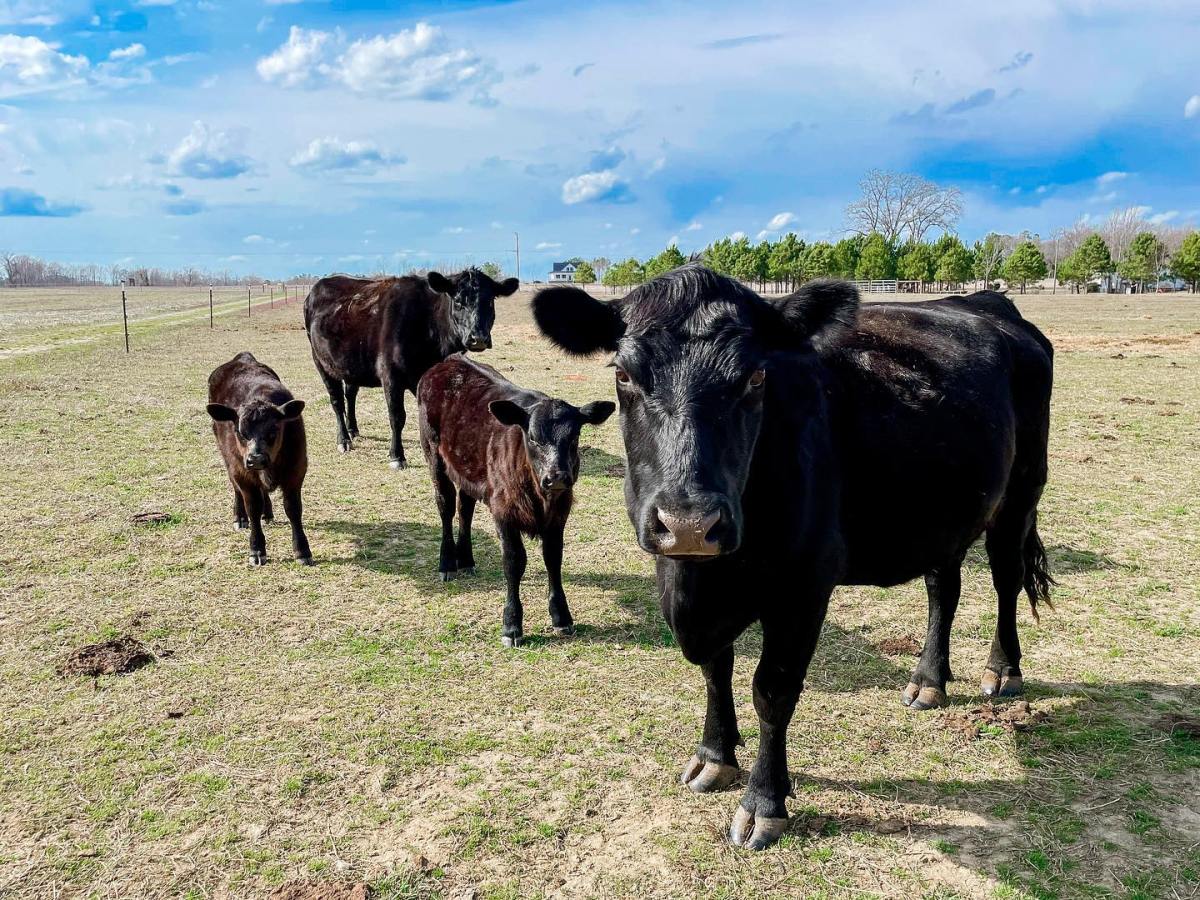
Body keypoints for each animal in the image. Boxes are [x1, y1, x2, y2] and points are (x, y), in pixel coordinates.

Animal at [206, 352, 312, 566]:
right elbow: (253, 507)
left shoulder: (296, 470)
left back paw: (268, 512)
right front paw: (256, 549)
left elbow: (293, 509)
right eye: (240, 431)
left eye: (274, 430)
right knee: (236, 489)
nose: (255, 459)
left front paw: (302, 550)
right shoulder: (242, 473)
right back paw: (240, 517)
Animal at [304, 268, 520, 469]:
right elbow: (397, 417)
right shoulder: (391, 375)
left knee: (350, 394)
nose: (478, 338)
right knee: (337, 401)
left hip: (350, 365)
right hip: (320, 362)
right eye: (458, 301)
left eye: (490, 301)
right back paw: (343, 439)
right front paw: (397, 456)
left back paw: (353, 430)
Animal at [417, 354, 615, 646]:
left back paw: (466, 560)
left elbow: (553, 558)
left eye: (575, 436)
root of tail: (451, 360)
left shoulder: (559, 513)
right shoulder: (504, 511)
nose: (556, 477)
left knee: (465, 508)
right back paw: (448, 563)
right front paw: (511, 625)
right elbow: (513, 562)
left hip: (467, 468)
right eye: (532, 437)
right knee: (446, 506)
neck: (540, 498)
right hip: (434, 455)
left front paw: (561, 616)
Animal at [531, 265, 1053, 849]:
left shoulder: (804, 586)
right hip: (946, 512)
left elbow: (772, 690)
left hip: (1021, 493)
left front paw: (764, 802)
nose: (689, 523)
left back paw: (1002, 671)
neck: (702, 586)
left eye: (757, 378)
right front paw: (713, 756)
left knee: (1007, 578)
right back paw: (928, 680)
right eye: (623, 374)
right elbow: (715, 670)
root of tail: (989, 302)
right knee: (944, 588)